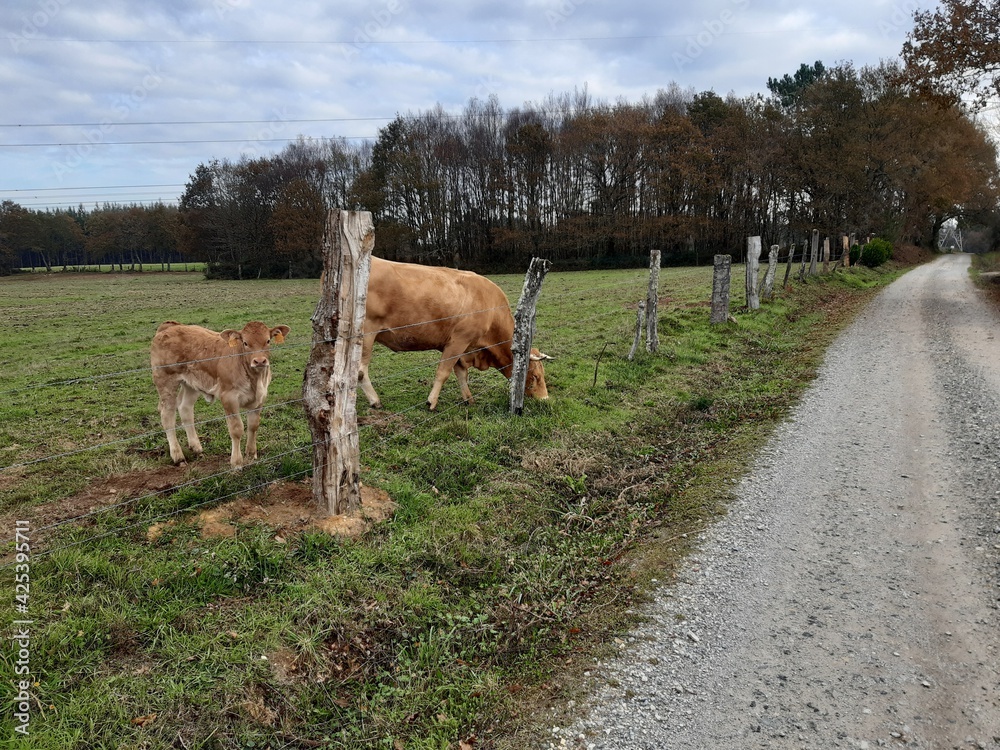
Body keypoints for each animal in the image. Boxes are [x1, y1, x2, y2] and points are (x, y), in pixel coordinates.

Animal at [150, 320, 290, 468]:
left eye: (268, 341)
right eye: (245, 343)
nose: (259, 361)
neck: (255, 380)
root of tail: (170, 326)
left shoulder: (260, 398)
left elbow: (253, 426)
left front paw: (251, 455)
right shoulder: (229, 398)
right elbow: (236, 429)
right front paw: (236, 462)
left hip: (191, 384)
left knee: (185, 408)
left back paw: (196, 448)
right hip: (165, 382)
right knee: (167, 416)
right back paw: (178, 456)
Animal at [358, 256, 551, 411]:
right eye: (535, 376)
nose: (545, 399)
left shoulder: (464, 348)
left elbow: (462, 374)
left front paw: (469, 399)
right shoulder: (458, 341)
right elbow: (443, 372)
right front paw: (431, 402)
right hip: (366, 334)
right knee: (360, 372)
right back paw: (375, 401)